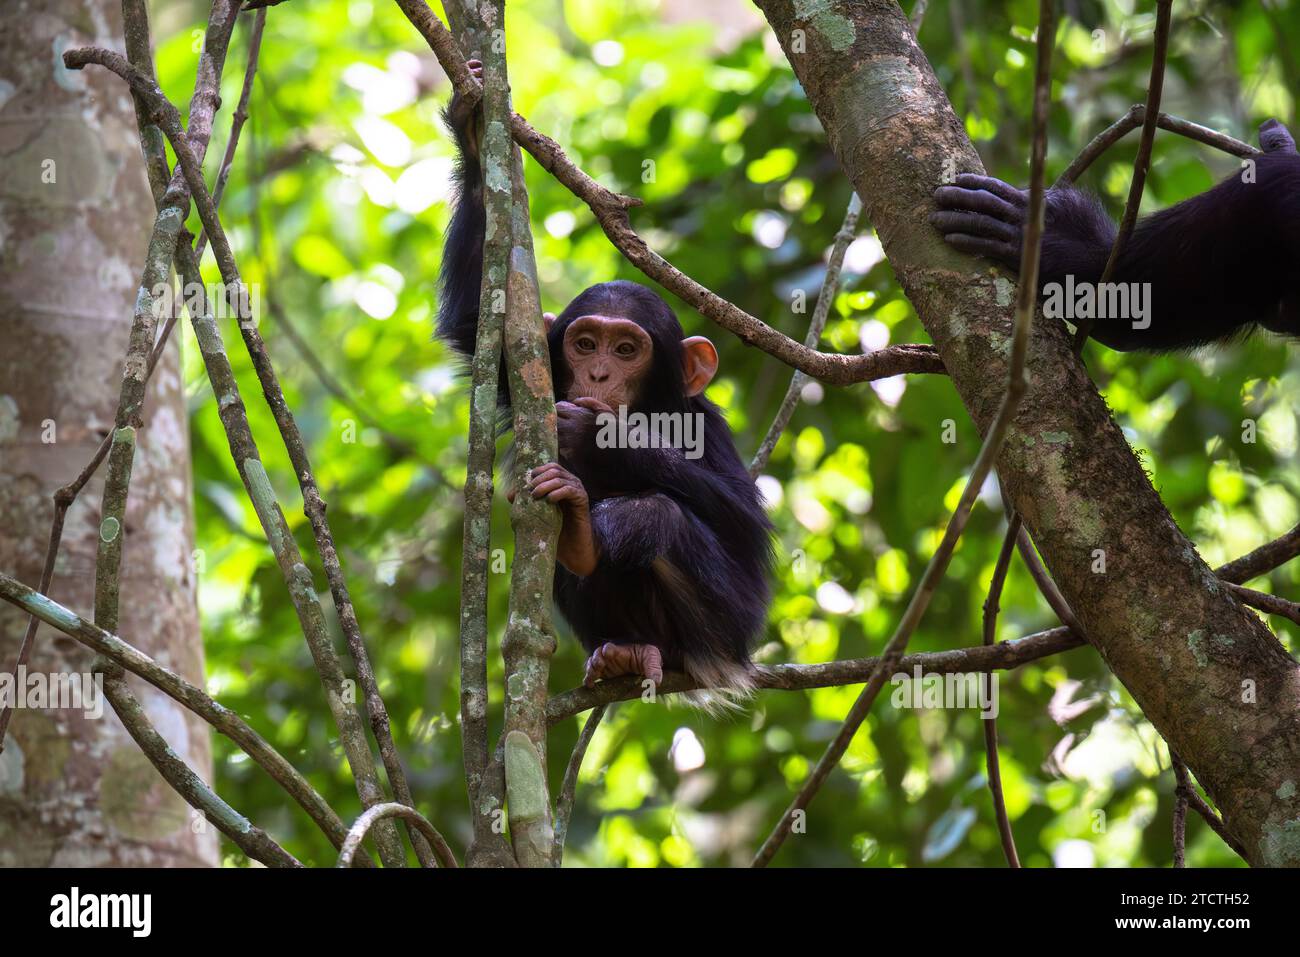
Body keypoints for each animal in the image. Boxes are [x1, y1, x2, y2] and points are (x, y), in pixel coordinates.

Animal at [438, 60, 774, 703]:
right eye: (585, 344)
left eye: (625, 350)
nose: (597, 373)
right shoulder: (522, 371)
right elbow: (472, 318)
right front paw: (472, 129)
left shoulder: (706, 426)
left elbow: (743, 518)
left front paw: (600, 438)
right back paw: (616, 635)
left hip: (718, 634)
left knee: (659, 517)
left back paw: (584, 533)